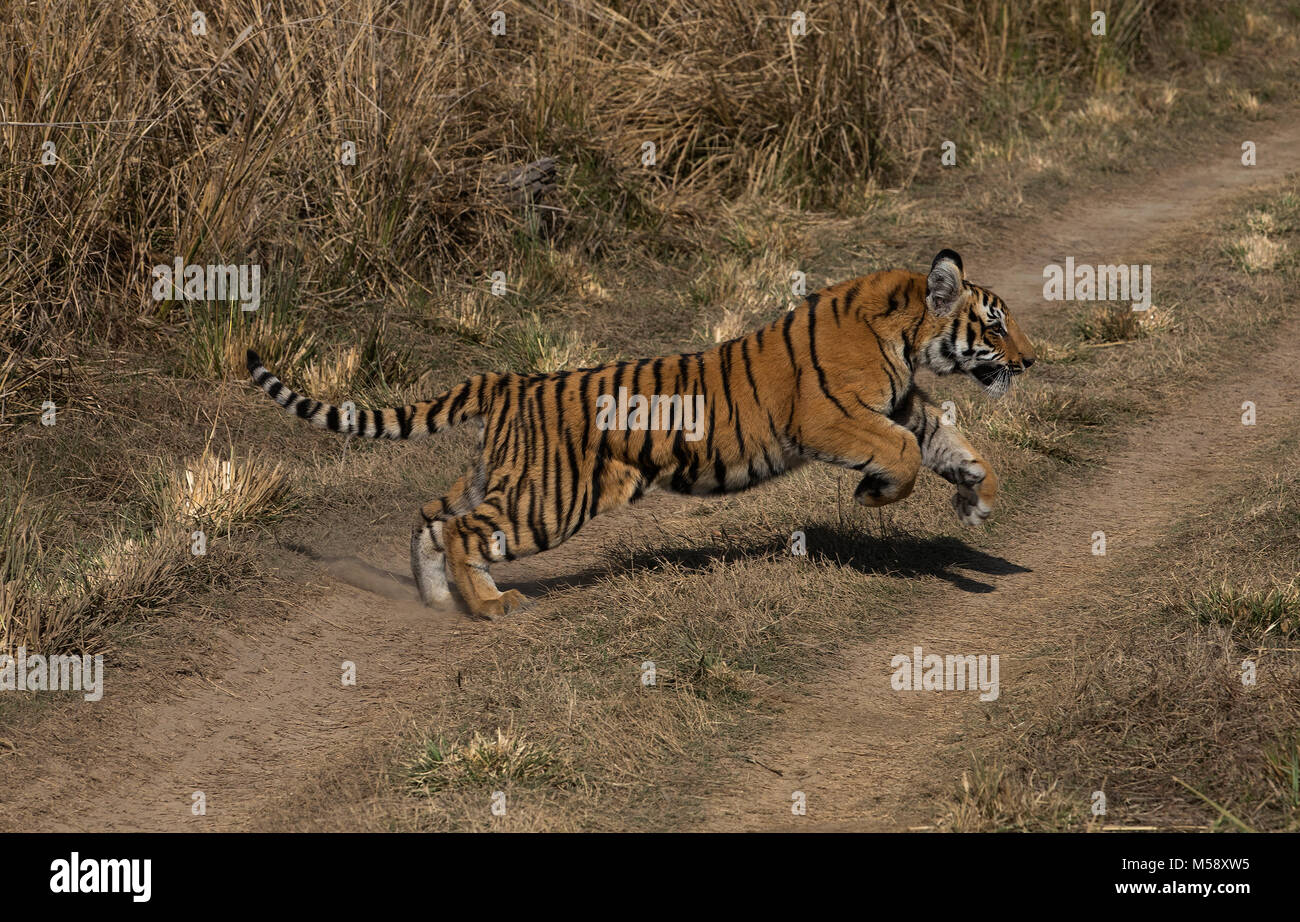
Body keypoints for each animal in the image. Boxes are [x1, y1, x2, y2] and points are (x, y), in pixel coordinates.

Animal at [247, 249, 1035, 618]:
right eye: (994, 326)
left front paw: (976, 498)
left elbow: (951, 444)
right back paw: (490, 607)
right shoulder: (835, 416)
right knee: (466, 528)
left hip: (502, 476)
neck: (906, 335)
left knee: (433, 515)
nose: (1031, 360)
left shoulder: (904, 405)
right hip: (548, 500)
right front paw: (874, 497)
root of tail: (513, 382)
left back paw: (439, 599)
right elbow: (904, 455)